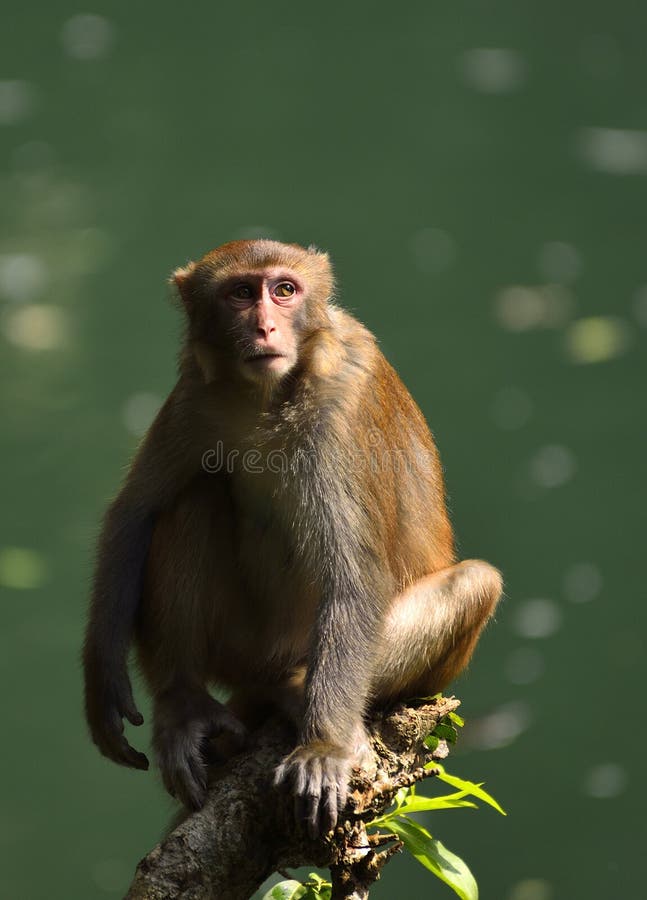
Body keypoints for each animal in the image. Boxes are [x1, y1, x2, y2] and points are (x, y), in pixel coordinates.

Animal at [83, 239, 502, 840]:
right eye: (241, 293)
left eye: (284, 290)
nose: (264, 327)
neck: (266, 396)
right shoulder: (196, 391)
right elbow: (134, 513)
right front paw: (103, 683)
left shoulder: (337, 410)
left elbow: (354, 577)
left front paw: (323, 746)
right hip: (237, 648)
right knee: (195, 498)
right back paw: (185, 704)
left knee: (475, 582)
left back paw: (295, 691)